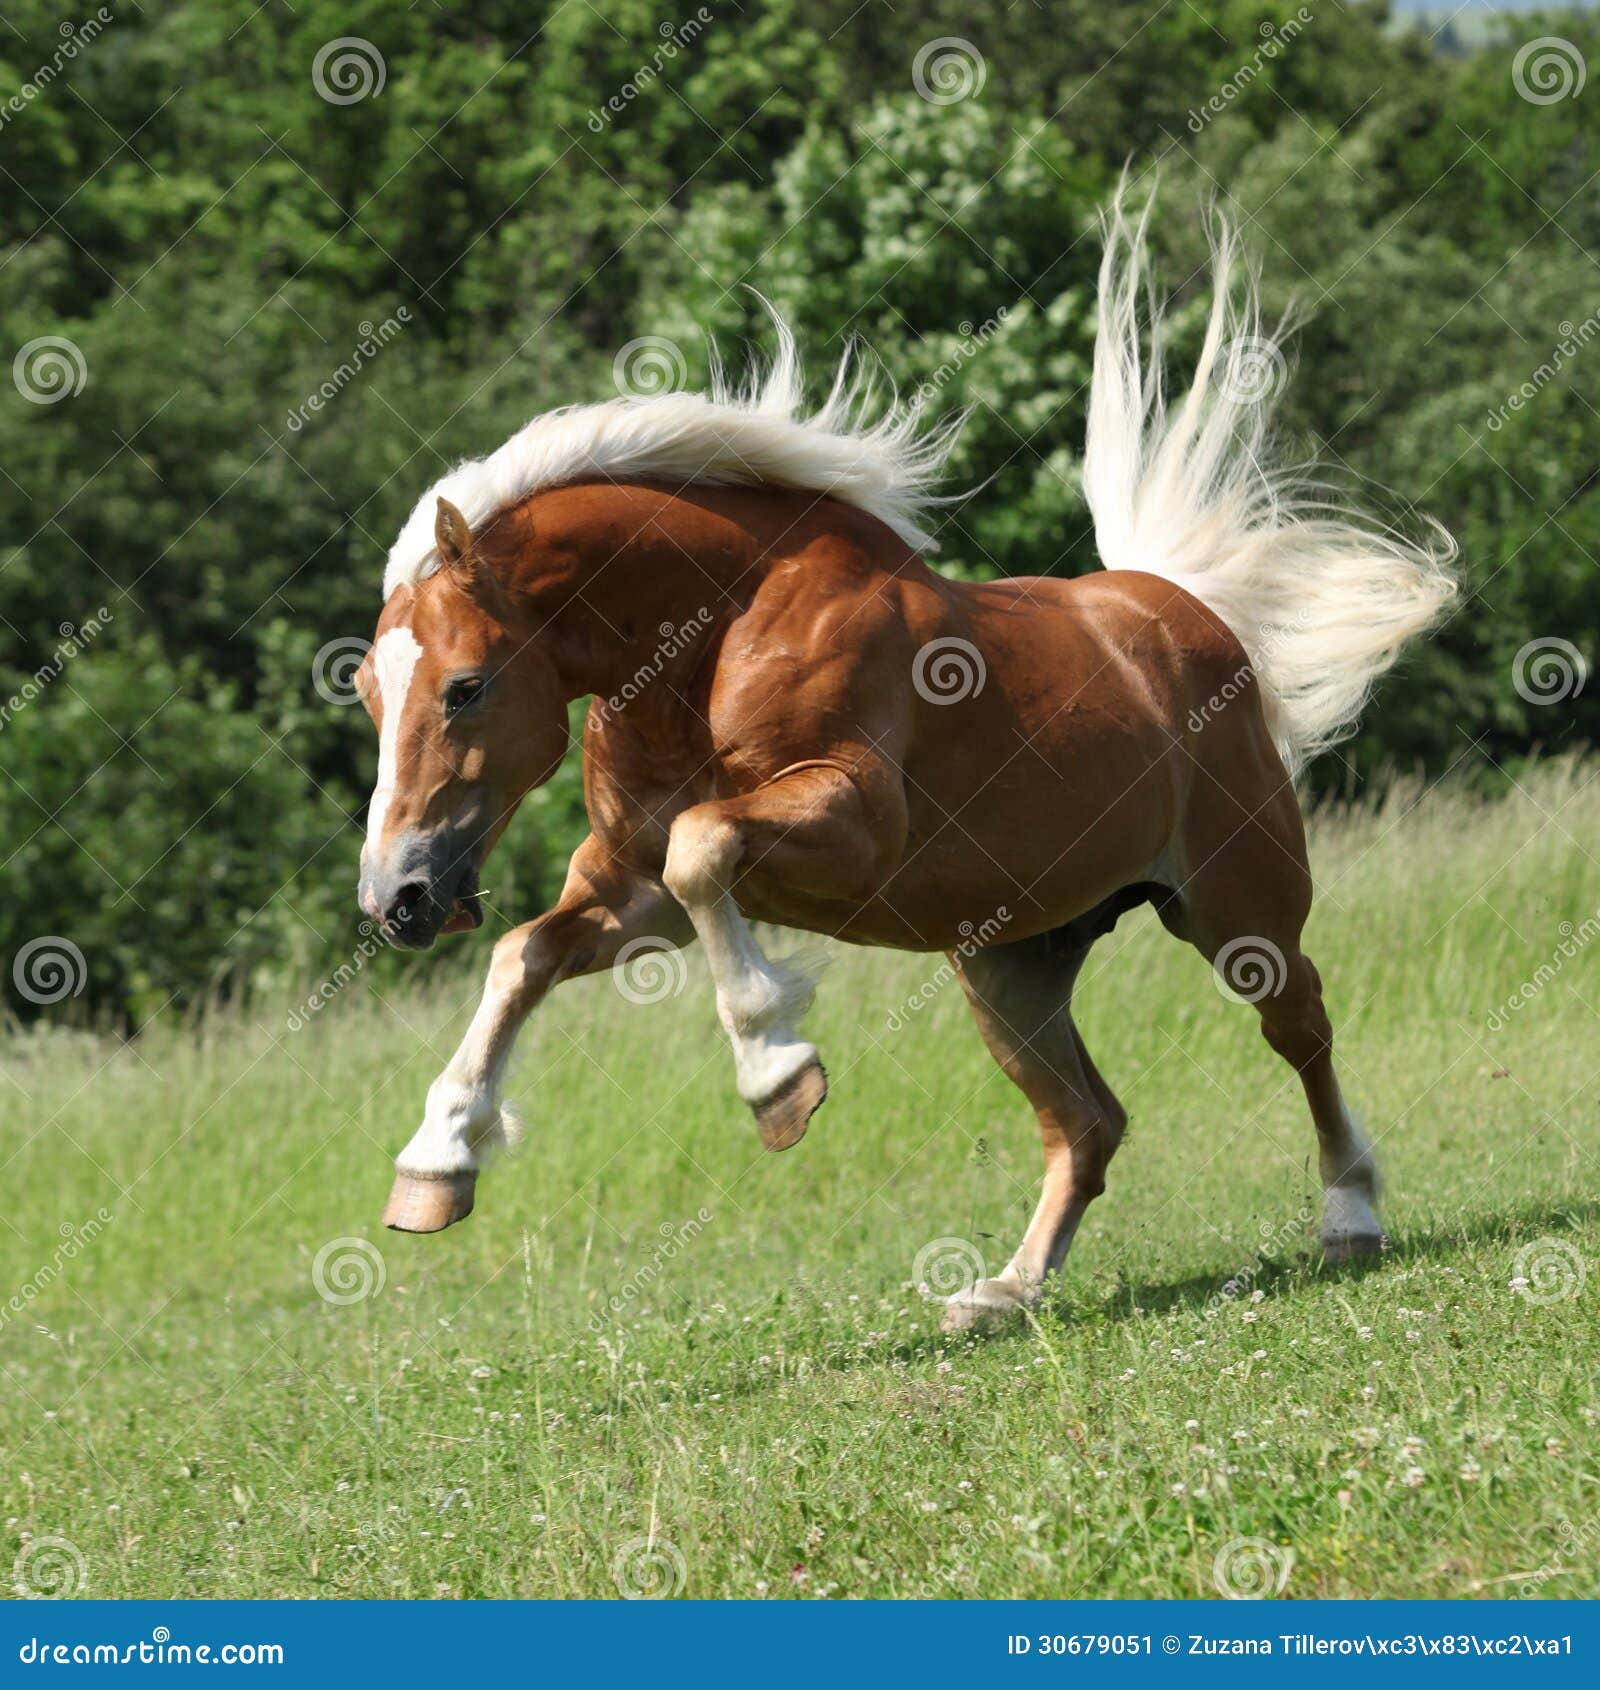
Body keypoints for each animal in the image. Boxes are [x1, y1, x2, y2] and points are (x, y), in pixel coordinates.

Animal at [353, 196, 1455, 1330]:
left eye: (465, 686)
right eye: (363, 690)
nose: (396, 896)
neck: (712, 639)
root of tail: (1180, 609)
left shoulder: (847, 826)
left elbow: (704, 851)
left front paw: (776, 1077)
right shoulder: (629, 892)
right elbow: (521, 954)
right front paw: (436, 1164)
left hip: (1236, 911)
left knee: (1302, 1030)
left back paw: (1349, 1219)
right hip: (1011, 966)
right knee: (1087, 1123)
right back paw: (1004, 1291)